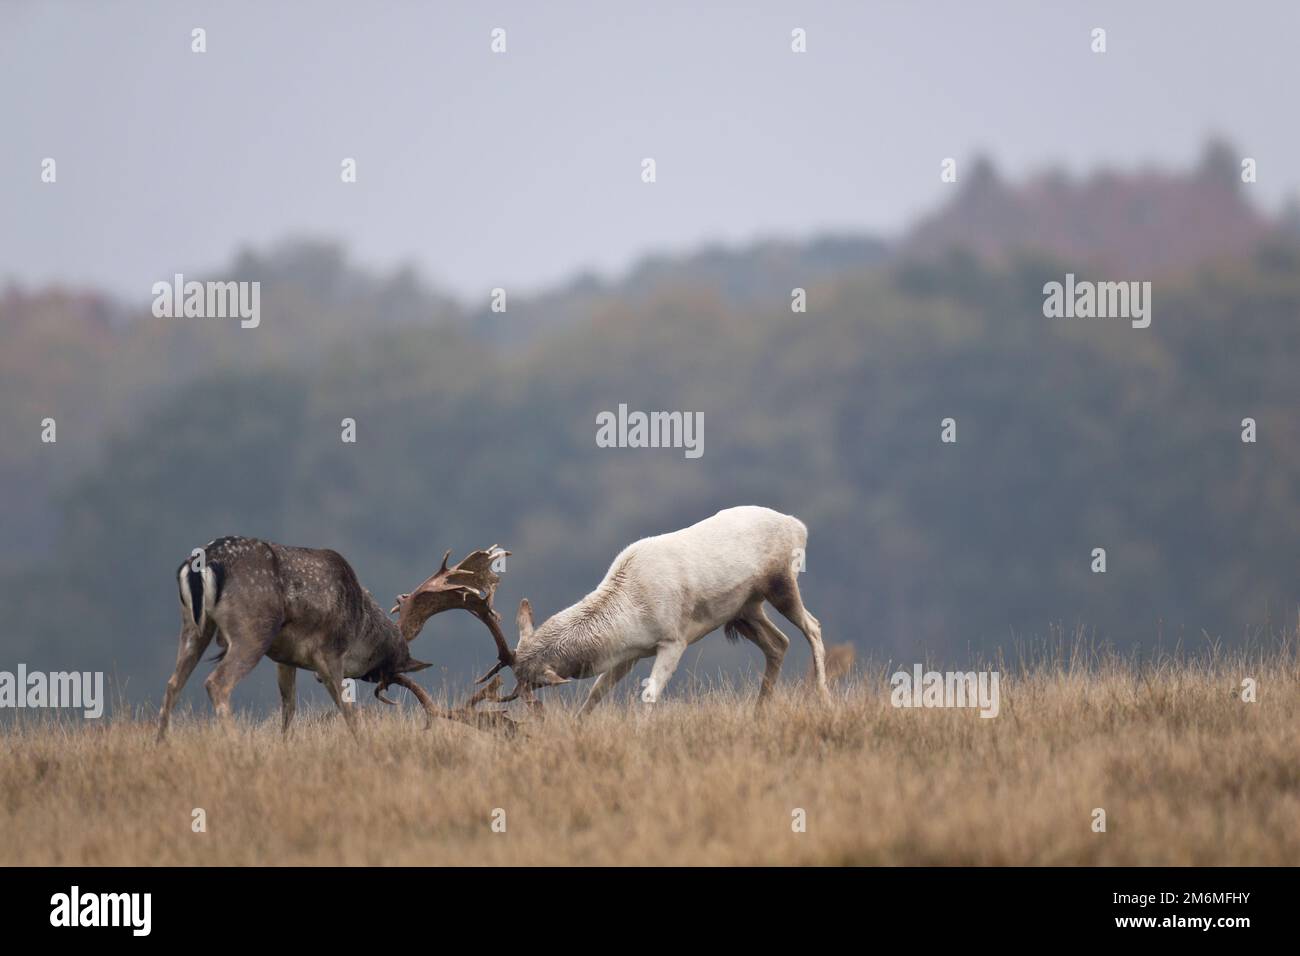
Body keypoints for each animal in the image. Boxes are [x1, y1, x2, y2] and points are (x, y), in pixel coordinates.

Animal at [156, 536, 514, 741]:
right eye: (388, 674)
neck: (361, 623)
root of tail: (202, 563)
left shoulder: (285, 659)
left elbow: (289, 709)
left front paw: (284, 746)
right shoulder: (329, 655)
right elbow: (349, 713)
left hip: (194, 628)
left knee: (173, 683)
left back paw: (162, 745)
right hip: (251, 630)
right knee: (216, 683)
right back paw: (234, 747)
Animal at [465, 506, 831, 712]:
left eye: (532, 681)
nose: (518, 699)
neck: (632, 609)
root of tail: (799, 527)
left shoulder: (674, 639)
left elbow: (650, 695)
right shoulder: (628, 654)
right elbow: (596, 692)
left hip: (781, 582)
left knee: (812, 626)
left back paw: (824, 699)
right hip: (745, 609)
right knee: (779, 642)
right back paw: (758, 711)